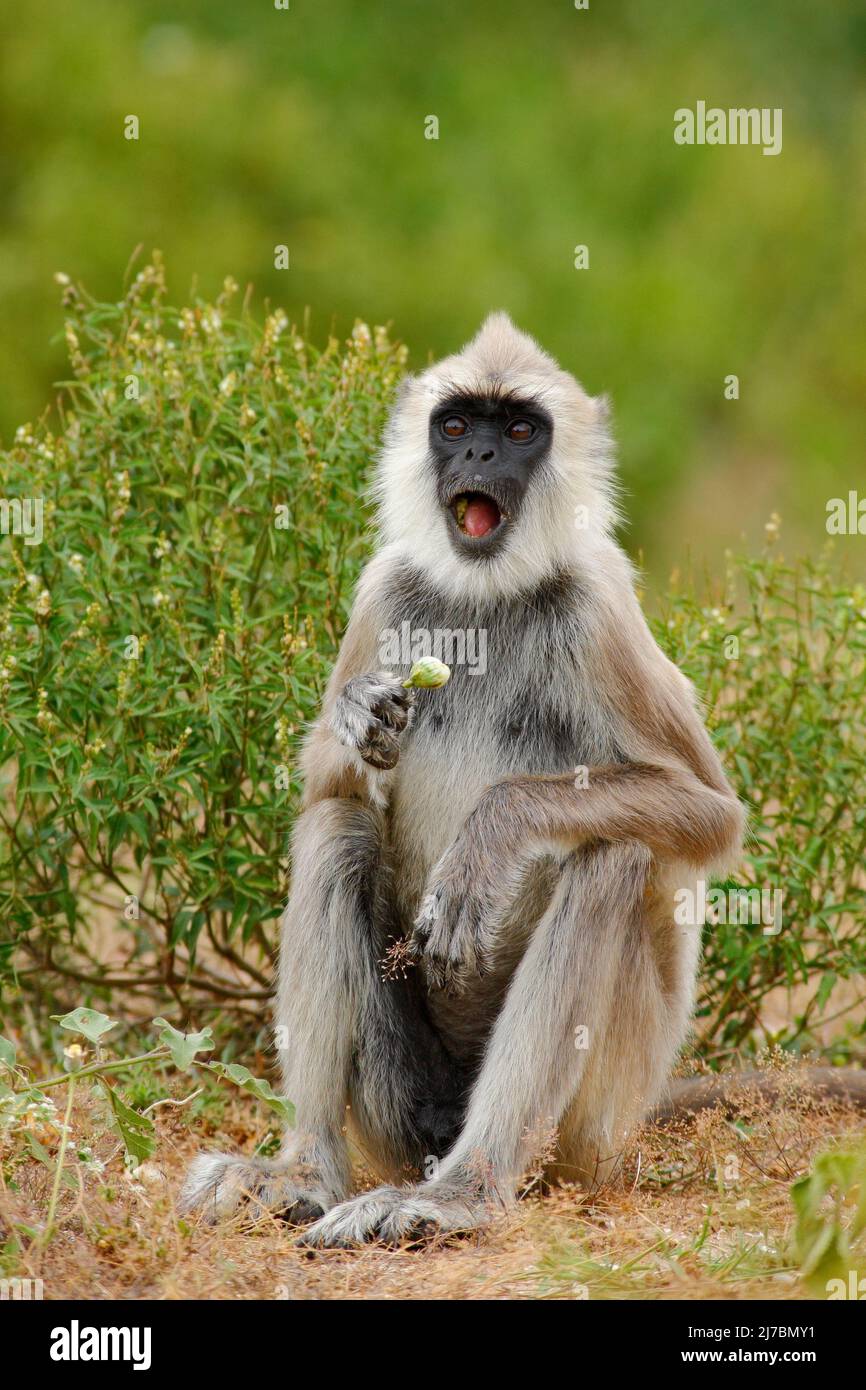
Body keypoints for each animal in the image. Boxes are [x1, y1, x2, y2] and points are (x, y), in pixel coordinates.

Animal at [180, 314, 858, 1247]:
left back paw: (466, 1190)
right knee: (336, 829)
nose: (479, 460)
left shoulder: (599, 606)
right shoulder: (383, 588)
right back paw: (304, 1174)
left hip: (594, 1123)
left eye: (521, 429)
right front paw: (360, 716)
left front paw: (490, 838)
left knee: (611, 858)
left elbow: (711, 812)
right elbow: (327, 783)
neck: (486, 595)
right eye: (459, 425)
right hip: (396, 1111)